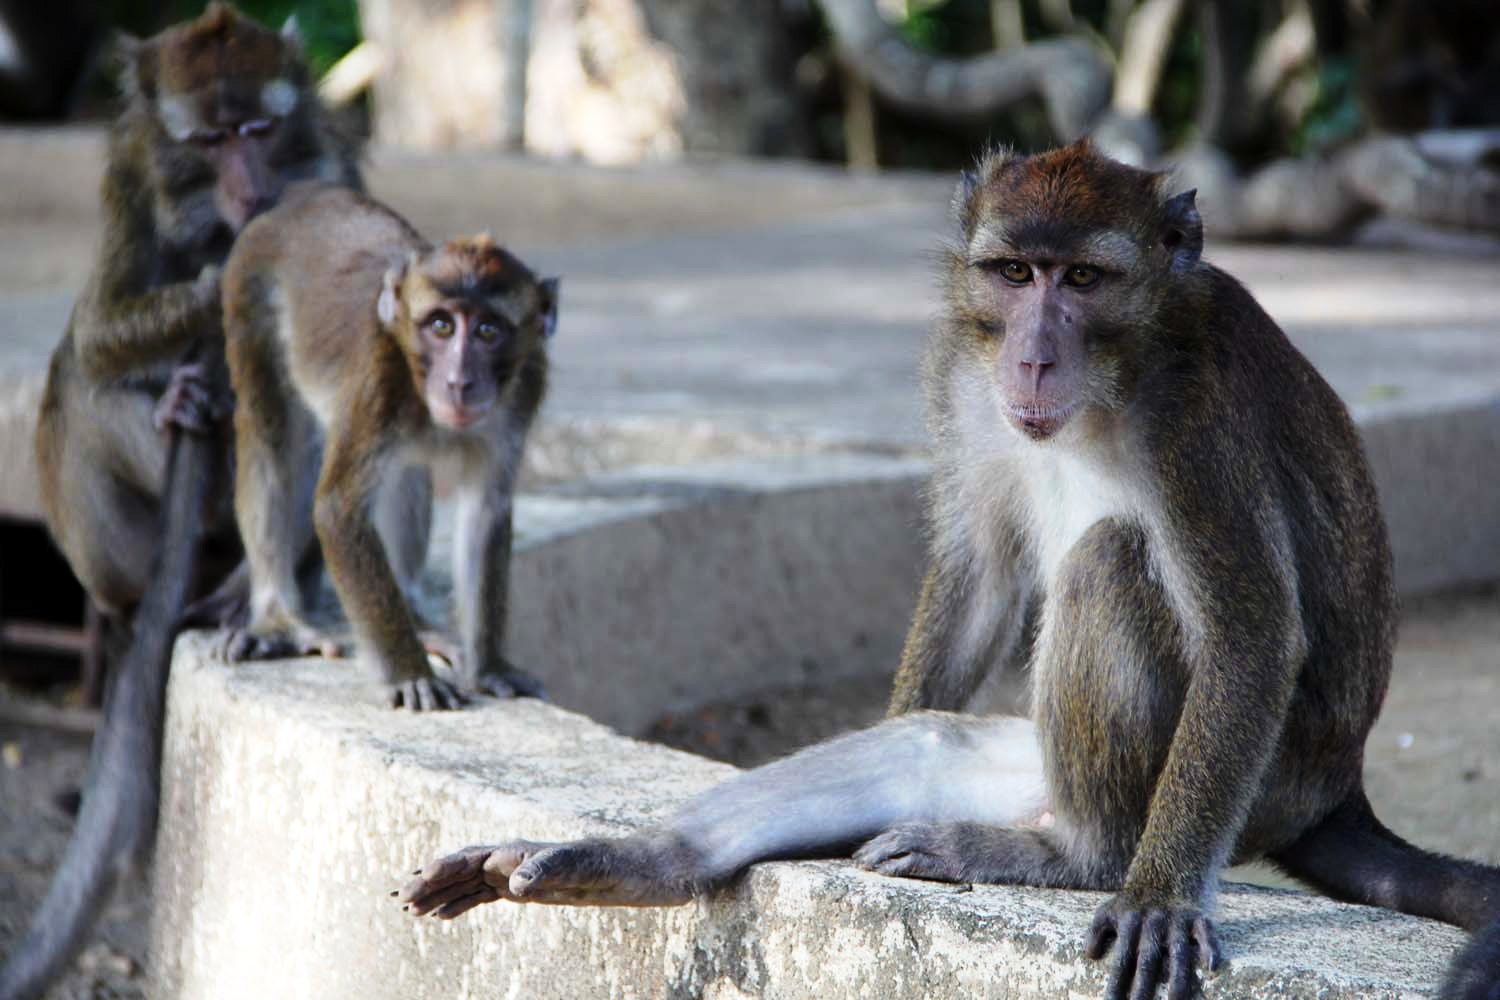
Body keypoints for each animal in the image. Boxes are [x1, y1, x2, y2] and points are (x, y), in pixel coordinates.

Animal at [3, 9, 361, 999]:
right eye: (208, 140)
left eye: (259, 129)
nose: (247, 187)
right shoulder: (128, 176)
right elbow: (99, 332)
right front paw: (209, 288)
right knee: (83, 375)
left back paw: (247, 590)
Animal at [218, 182, 558, 711]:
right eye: (441, 326)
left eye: (488, 330)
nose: (459, 382)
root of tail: (309, 197)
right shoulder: (376, 379)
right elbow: (339, 510)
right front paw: (409, 673)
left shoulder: (525, 386)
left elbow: (485, 510)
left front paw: (490, 666)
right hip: (247, 289)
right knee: (267, 432)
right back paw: (277, 621)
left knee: (406, 474)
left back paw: (420, 625)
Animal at [398, 143, 1500, 1000]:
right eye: (1012, 273)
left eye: (1082, 280)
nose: (1035, 355)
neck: (1113, 378)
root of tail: (1338, 781)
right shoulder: (962, 367)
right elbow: (977, 569)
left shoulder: (1201, 414)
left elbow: (1249, 633)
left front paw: (1156, 893)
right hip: (1029, 763)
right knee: (924, 741)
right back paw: (646, 861)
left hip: (1261, 781)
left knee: (1110, 561)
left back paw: (1086, 857)